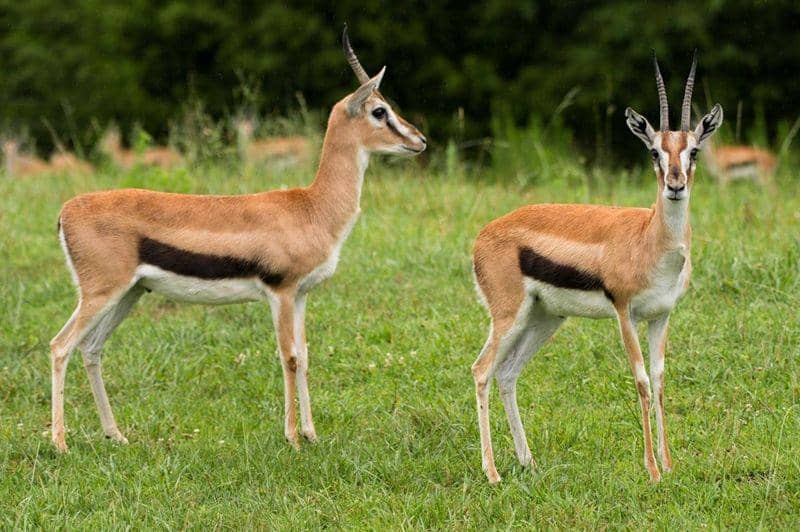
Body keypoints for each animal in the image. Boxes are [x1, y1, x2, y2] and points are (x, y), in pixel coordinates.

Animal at [49, 27, 426, 453]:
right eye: (380, 111)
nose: (420, 140)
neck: (311, 206)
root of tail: (67, 210)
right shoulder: (280, 293)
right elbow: (288, 357)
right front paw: (292, 439)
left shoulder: (300, 295)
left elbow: (305, 356)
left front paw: (311, 434)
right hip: (101, 293)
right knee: (60, 346)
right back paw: (60, 443)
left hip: (129, 293)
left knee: (91, 348)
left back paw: (116, 435)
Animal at [470, 52, 722, 484]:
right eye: (654, 152)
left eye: (693, 151)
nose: (675, 186)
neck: (650, 240)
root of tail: (484, 235)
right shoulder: (625, 314)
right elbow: (641, 381)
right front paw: (652, 471)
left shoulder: (661, 316)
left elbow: (659, 381)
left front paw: (670, 465)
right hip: (508, 317)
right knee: (482, 371)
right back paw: (492, 474)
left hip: (544, 318)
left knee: (508, 374)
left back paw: (528, 461)